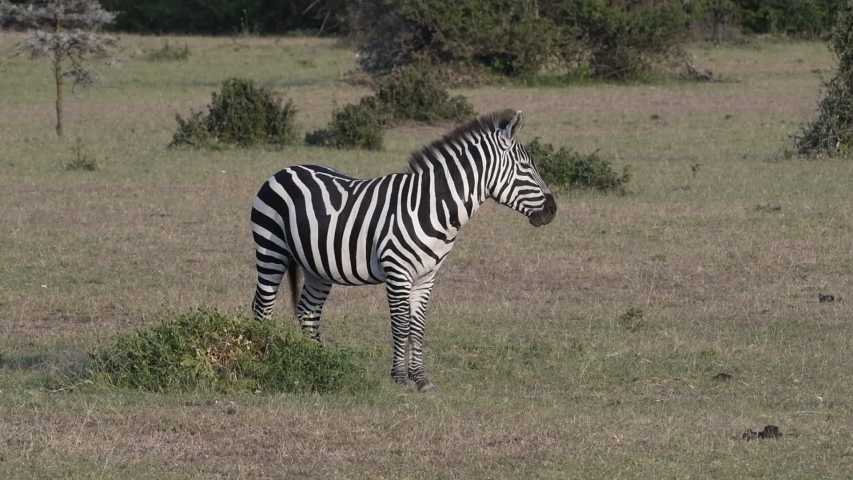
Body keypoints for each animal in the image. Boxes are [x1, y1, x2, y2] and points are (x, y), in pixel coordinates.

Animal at [250, 110, 557, 392]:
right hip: (271, 249)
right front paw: (398, 378)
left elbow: (417, 327)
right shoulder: (397, 272)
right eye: (526, 167)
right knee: (262, 307)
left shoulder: (427, 276)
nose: (553, 210)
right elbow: (400, 324)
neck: (431, 208)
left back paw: (318, 361)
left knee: (308, 311)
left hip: (317, 266)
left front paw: (420, 378)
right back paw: (262, 359)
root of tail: (284, 170)